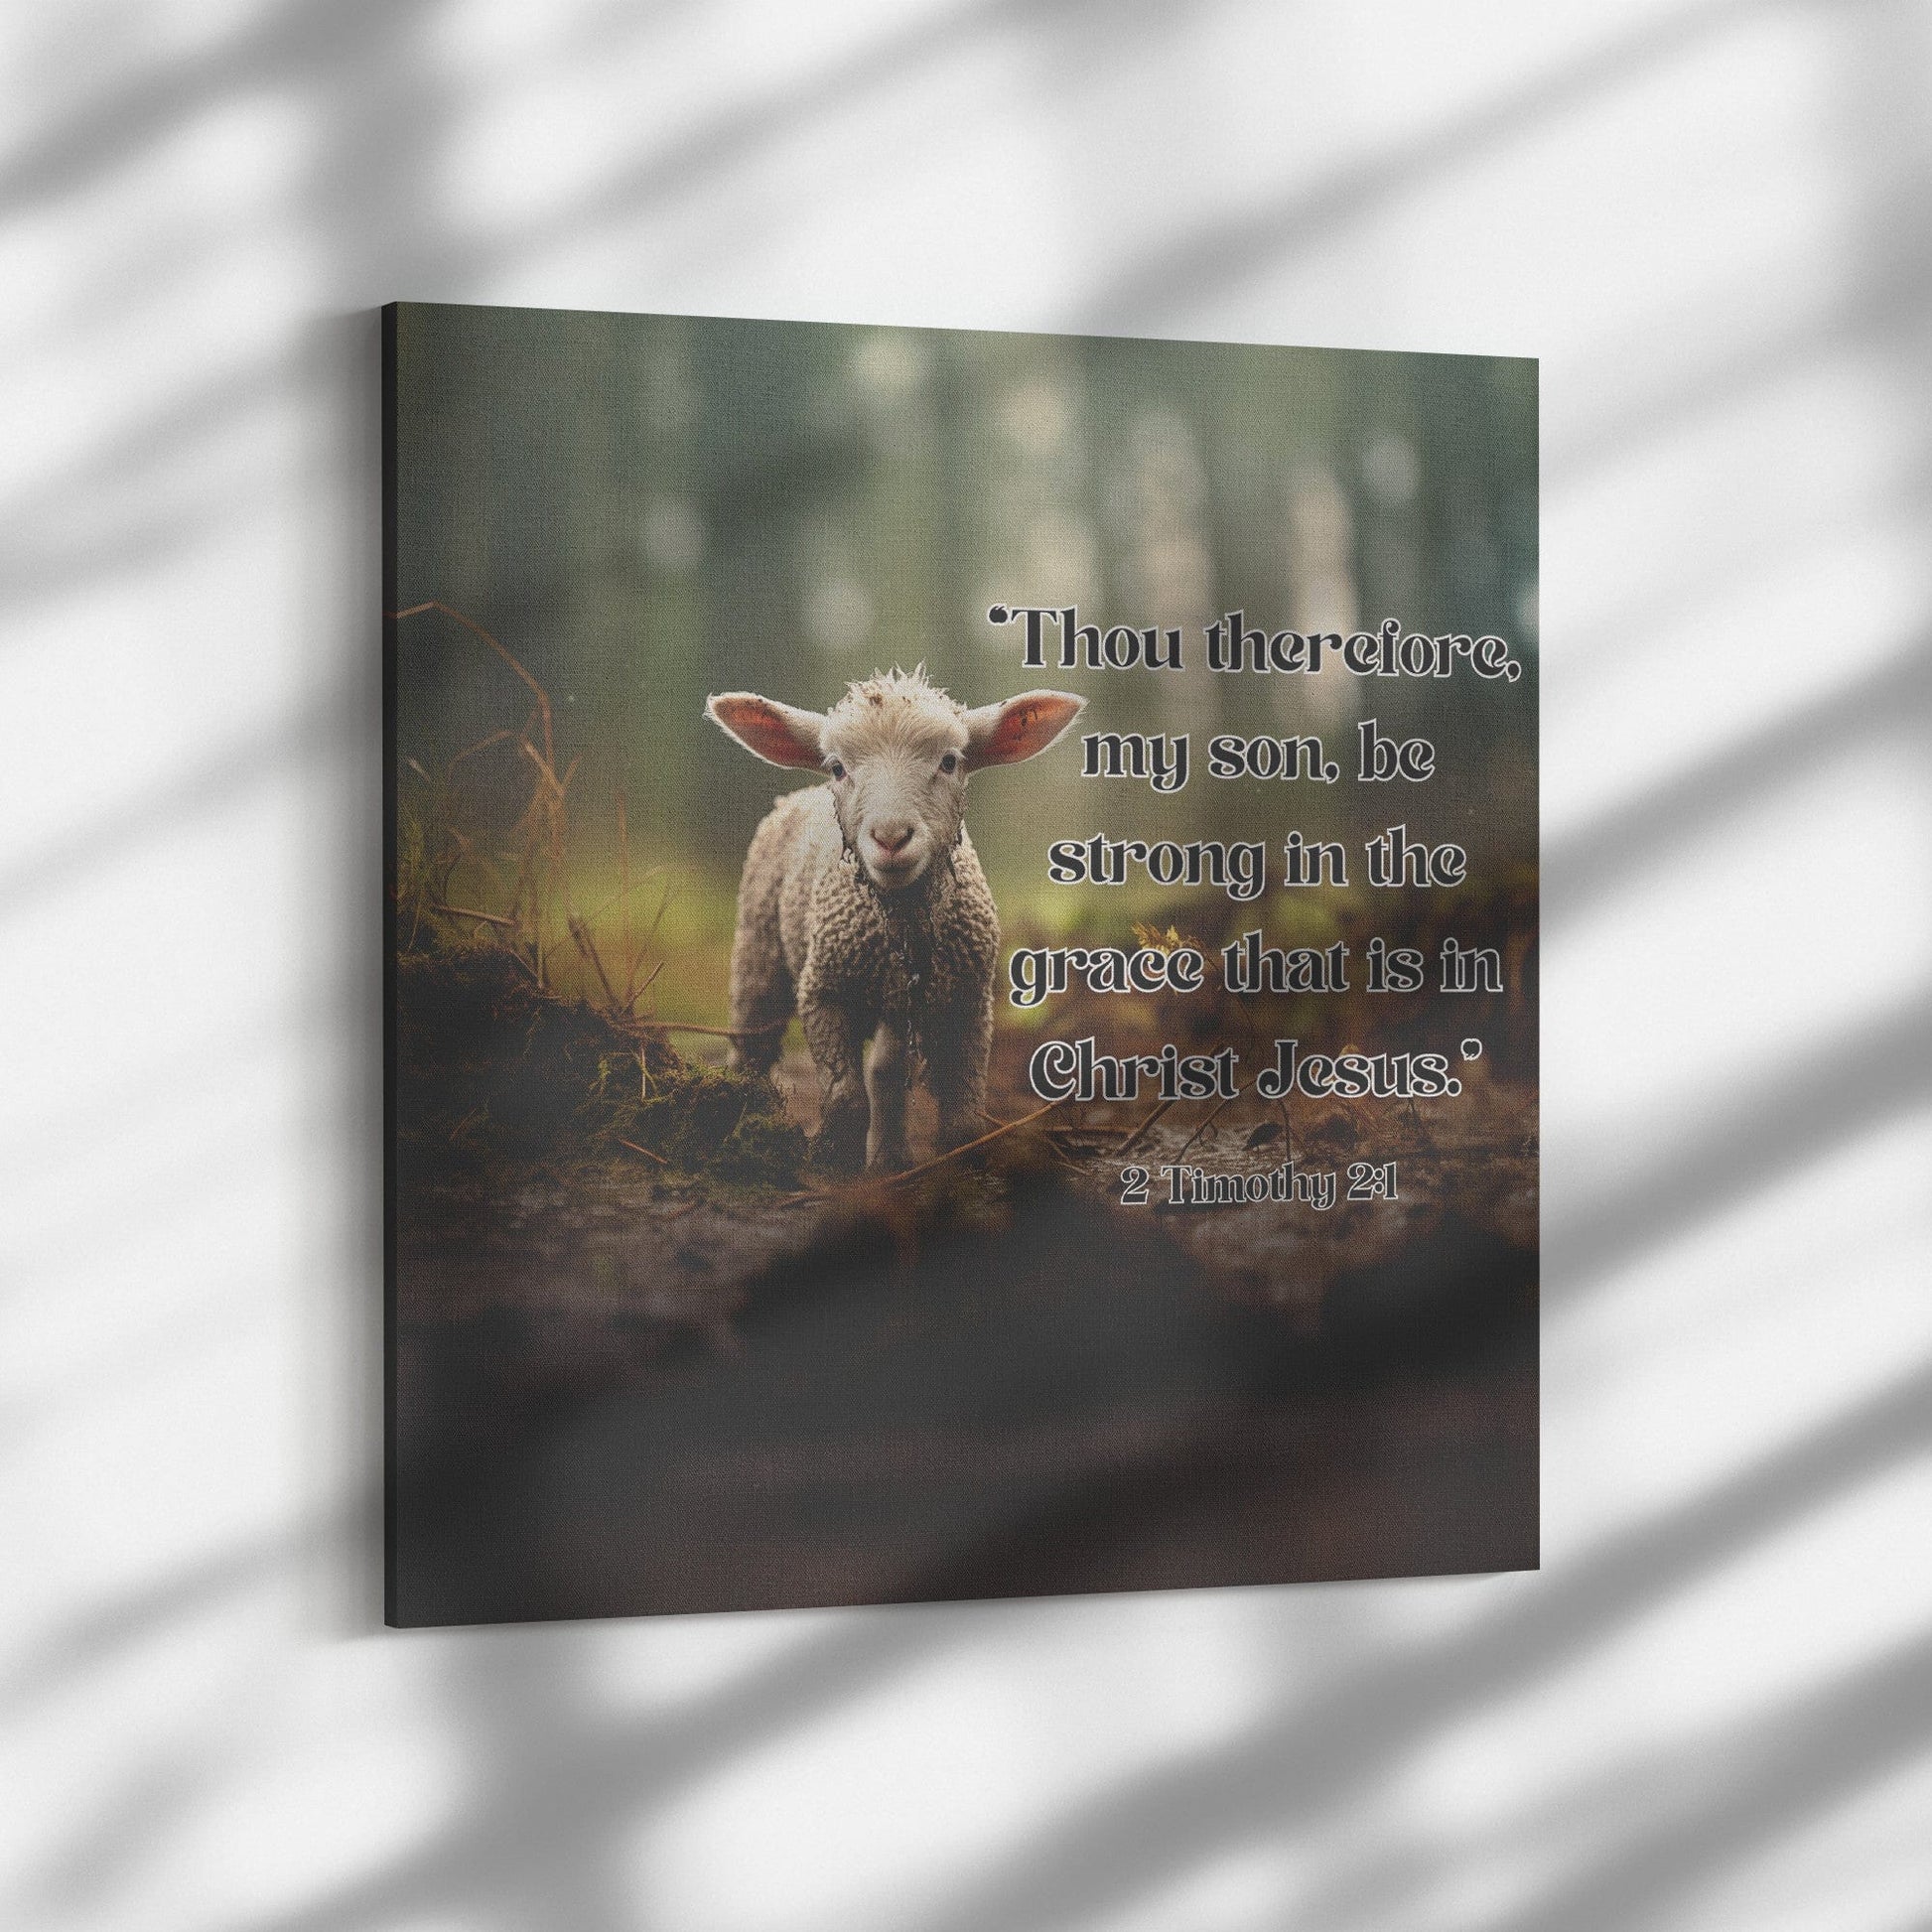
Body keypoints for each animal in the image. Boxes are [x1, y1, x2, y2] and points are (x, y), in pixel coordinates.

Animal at [705, 668, 1085, 1173]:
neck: (904, 923)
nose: (890, 837)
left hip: (895, 999)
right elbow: (846, 1098)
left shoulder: (967, 999)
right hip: (759, 945)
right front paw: (832, 1159)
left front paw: (956, 1162)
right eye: (837, 768)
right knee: (753, 1041)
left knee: (883, 1070)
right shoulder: (823, 989)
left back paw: (891, 1157)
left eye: (949, 761)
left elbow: (960, 1108)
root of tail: (797, 794)